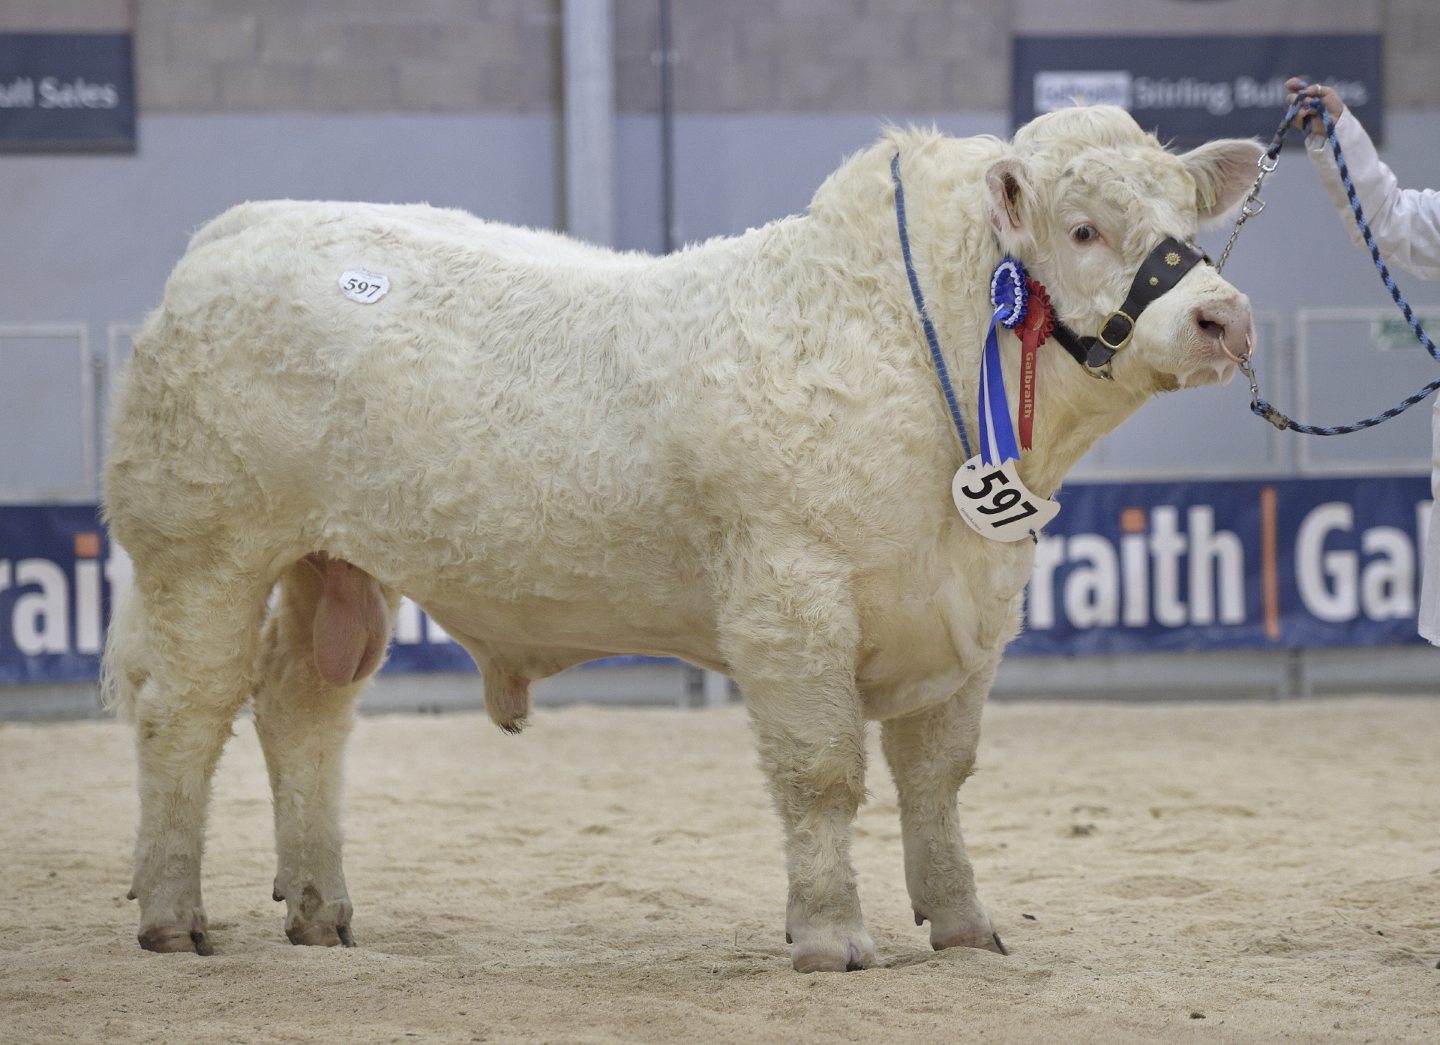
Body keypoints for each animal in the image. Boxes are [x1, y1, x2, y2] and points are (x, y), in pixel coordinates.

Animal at [102, 105, 1262, 972]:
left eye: (1188, 218)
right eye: (1083, 228)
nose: (1225, 317)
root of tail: (241, 230)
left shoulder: (966, 611)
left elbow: (938, 779)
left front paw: (966, 923)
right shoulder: (790, 600)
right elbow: (822, 774)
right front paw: (831, 935)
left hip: (336, 566)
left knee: (303, 712)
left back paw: (319, 908)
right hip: (203, 550)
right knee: (182, 716)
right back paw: (172, 916)